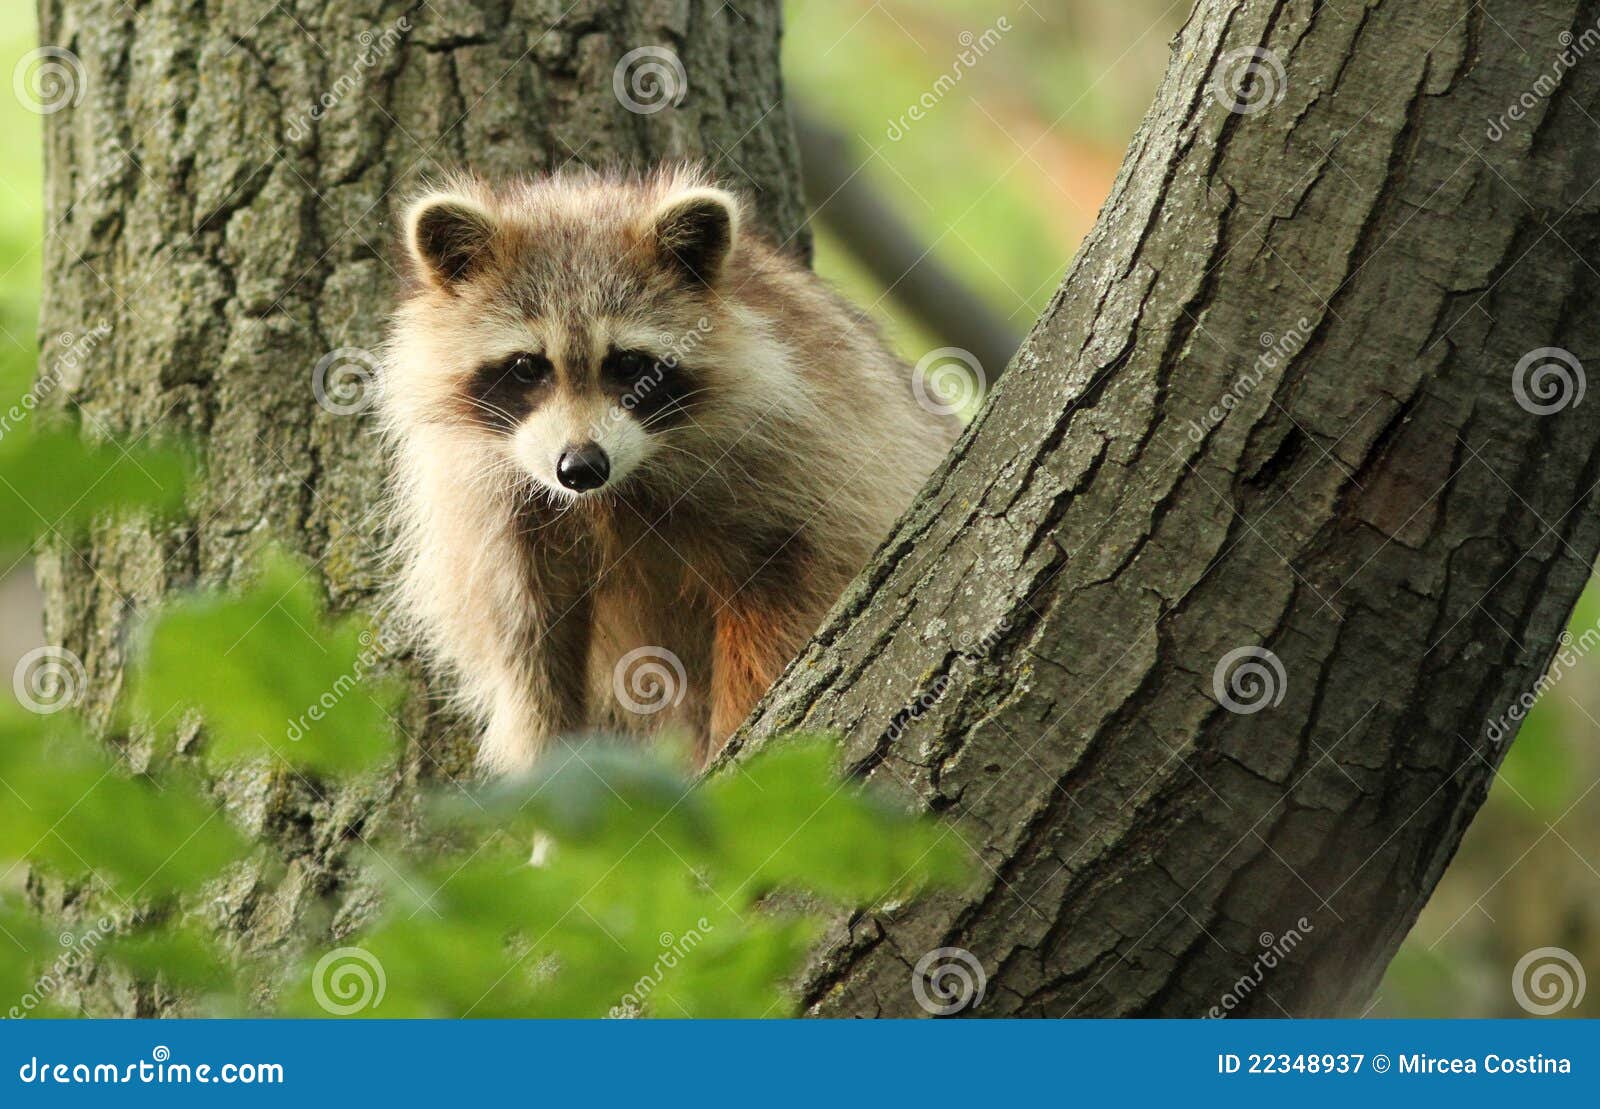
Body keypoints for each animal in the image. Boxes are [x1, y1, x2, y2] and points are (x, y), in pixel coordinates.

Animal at [378, 167, 961, 774]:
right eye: (526, 366)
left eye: (629, 364)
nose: (580, 467)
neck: (616, 490)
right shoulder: (495, 519)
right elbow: (531, 652)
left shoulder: (806, 462)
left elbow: (786, 601)